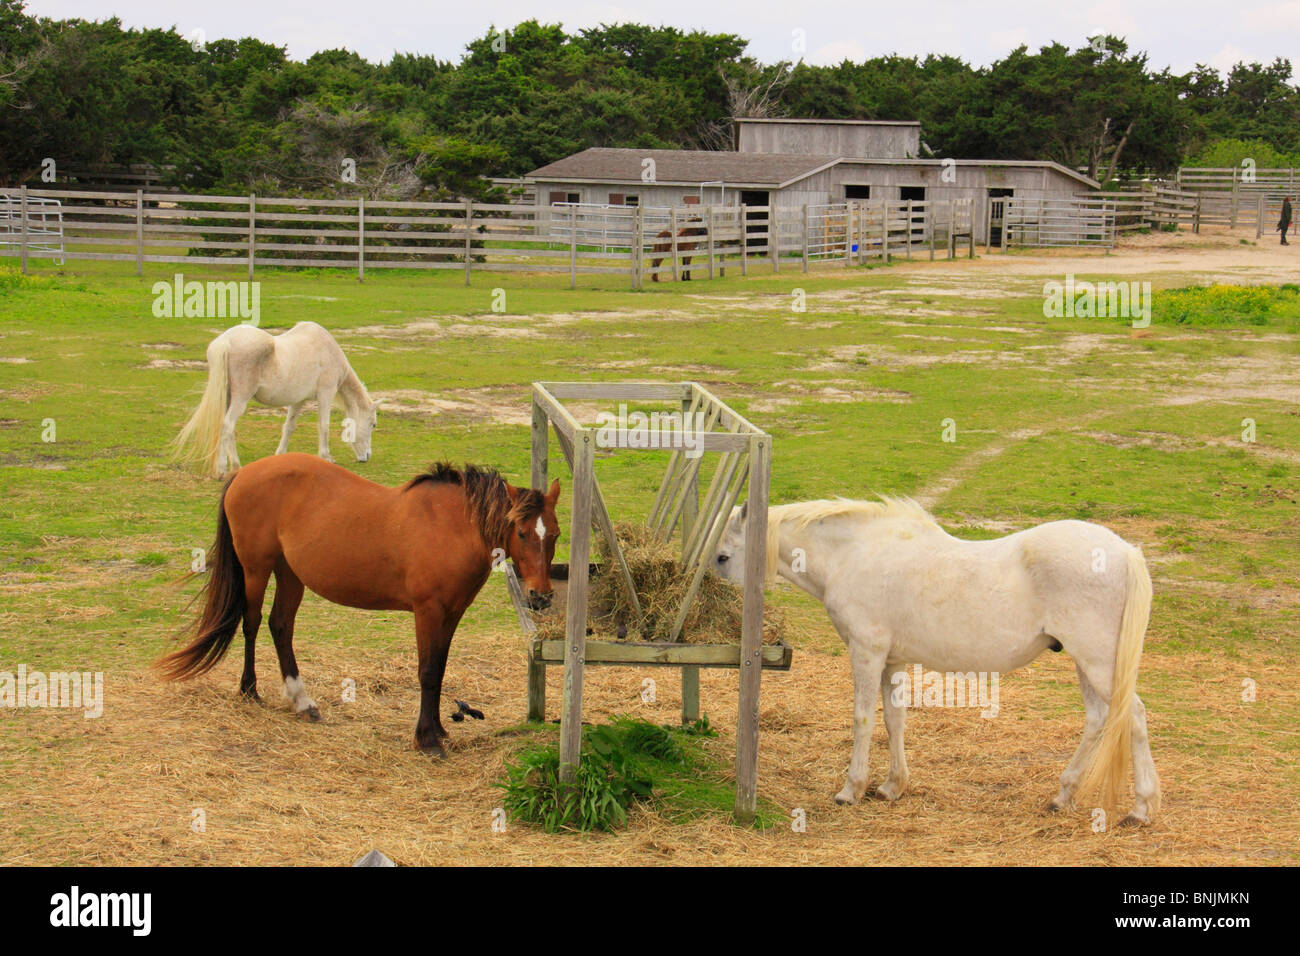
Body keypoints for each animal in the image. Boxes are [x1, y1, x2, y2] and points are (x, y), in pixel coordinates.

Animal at [155, 454, 561, 757]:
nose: (541, 595)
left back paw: (302, 701)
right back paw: (249, 691)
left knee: (280, 626)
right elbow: (428, 672)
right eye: (521, 532)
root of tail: (244, 473)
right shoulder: (428, 612)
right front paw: (427, 739)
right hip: (256, 569)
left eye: (555, 533)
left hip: (290, 573)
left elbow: (440, 670)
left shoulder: (451, 615)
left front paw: (439, 729)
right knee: (252, 623)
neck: (450, 526)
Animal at [173, 321, 378, 478]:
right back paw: (225, 469)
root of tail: (225, 341)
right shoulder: (325, 394)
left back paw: (233, 465)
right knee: (227, 426)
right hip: (240, 399)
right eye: (373, 425)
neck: (327, 349)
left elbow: (289, 427)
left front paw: (280, 454)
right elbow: (324, 426)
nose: (367, 456)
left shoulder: (299, 400)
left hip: (229, 398)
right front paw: (326, 457)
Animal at [712, 497, 1161, 825]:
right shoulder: (891, 662)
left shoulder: (866, 652)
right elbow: (895, 721)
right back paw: (1063, 795)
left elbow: (863, 719)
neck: (855, 554)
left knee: (1133, 716)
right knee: (1098, 719)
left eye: (721, 558)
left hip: (1098, 661)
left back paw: (1140, 809)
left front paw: (851, 790)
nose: (708, 585)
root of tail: (1125, 552)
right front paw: (892, 787)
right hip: (1086, 662)